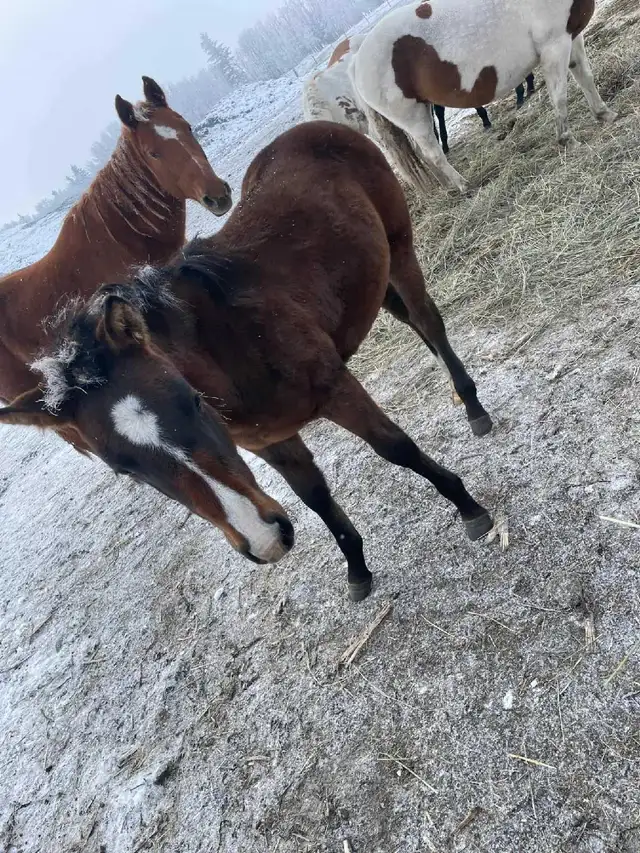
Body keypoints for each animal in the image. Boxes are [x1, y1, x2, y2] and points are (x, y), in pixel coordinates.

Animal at [0, 122, 494, 602]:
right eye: (126, 471)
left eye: (194, 402)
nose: (262, 540)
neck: (225, 347)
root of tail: (319, 126)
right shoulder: (267, 441)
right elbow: (314, 495)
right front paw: (357, 571)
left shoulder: (336, 387)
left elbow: (395, 447)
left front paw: (470, 509)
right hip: (372, 275)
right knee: (413, 323)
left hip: (399, 247)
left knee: (429, 322)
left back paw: (473, 409)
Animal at [349, 0, 617, 194]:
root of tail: (357, 58)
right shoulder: (554, 45)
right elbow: (559, 96)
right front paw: (568, 140)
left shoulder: (571, 36)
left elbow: (585, 77)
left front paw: (604, 114)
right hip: (413, 117)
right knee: (433, 154)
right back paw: (464, 185)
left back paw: (448, 187)